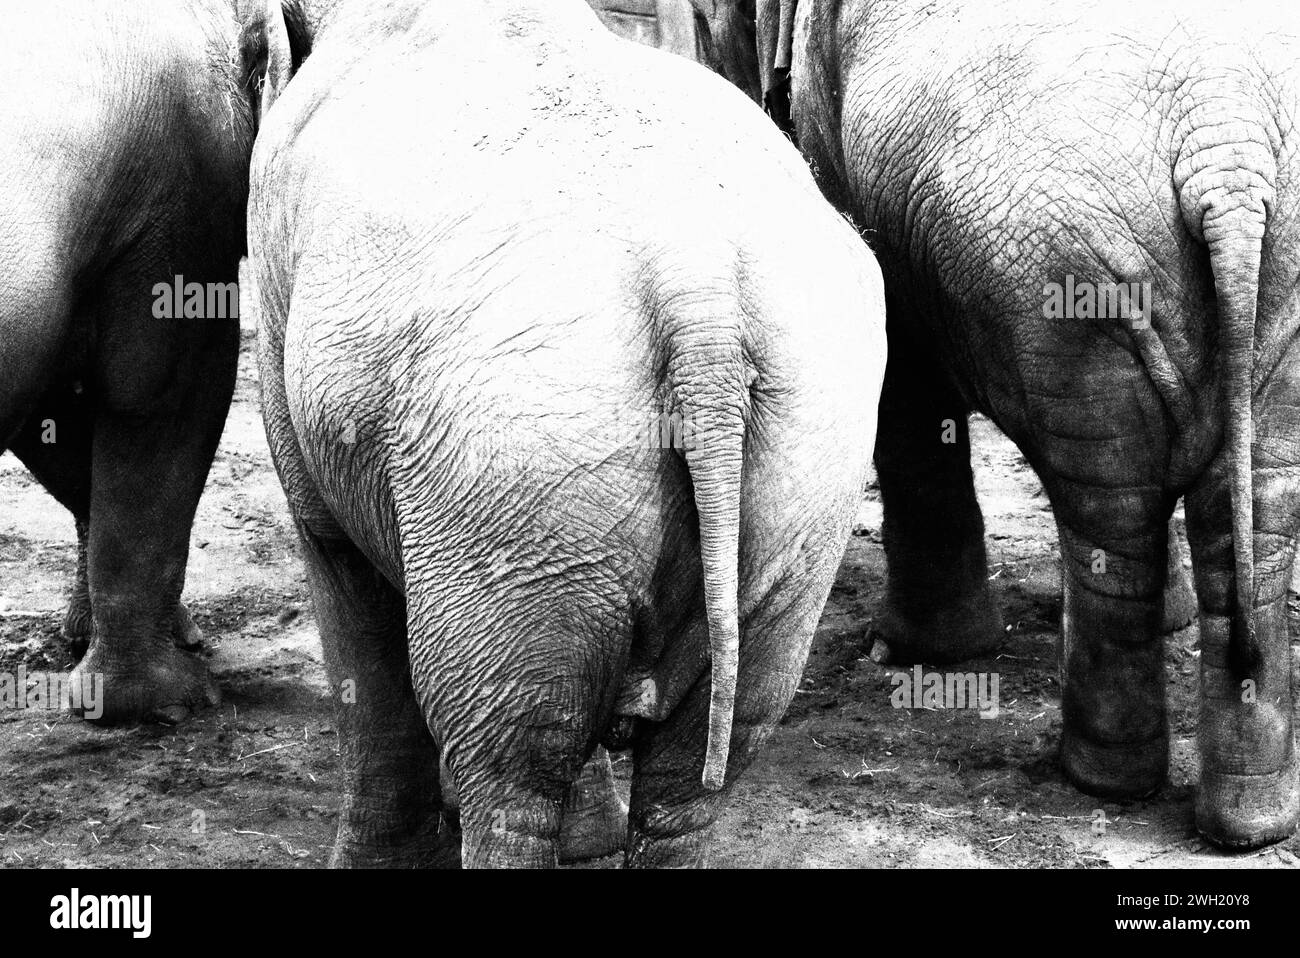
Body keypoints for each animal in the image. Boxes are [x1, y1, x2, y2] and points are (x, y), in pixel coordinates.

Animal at [240, 0, 885, 867]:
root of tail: (697, 281)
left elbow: (342, 582)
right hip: (806, 466)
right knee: (701, 761)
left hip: (508, 479)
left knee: (510, 766)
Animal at [689, 0, 1300, 849]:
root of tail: (1229, 155)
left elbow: (901, 368)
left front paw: (910, 652)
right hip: (1250, 284)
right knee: (1245, 517)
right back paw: (1248, 823)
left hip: (1070, 277)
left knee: (1112, 511)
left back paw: (1101, 779)